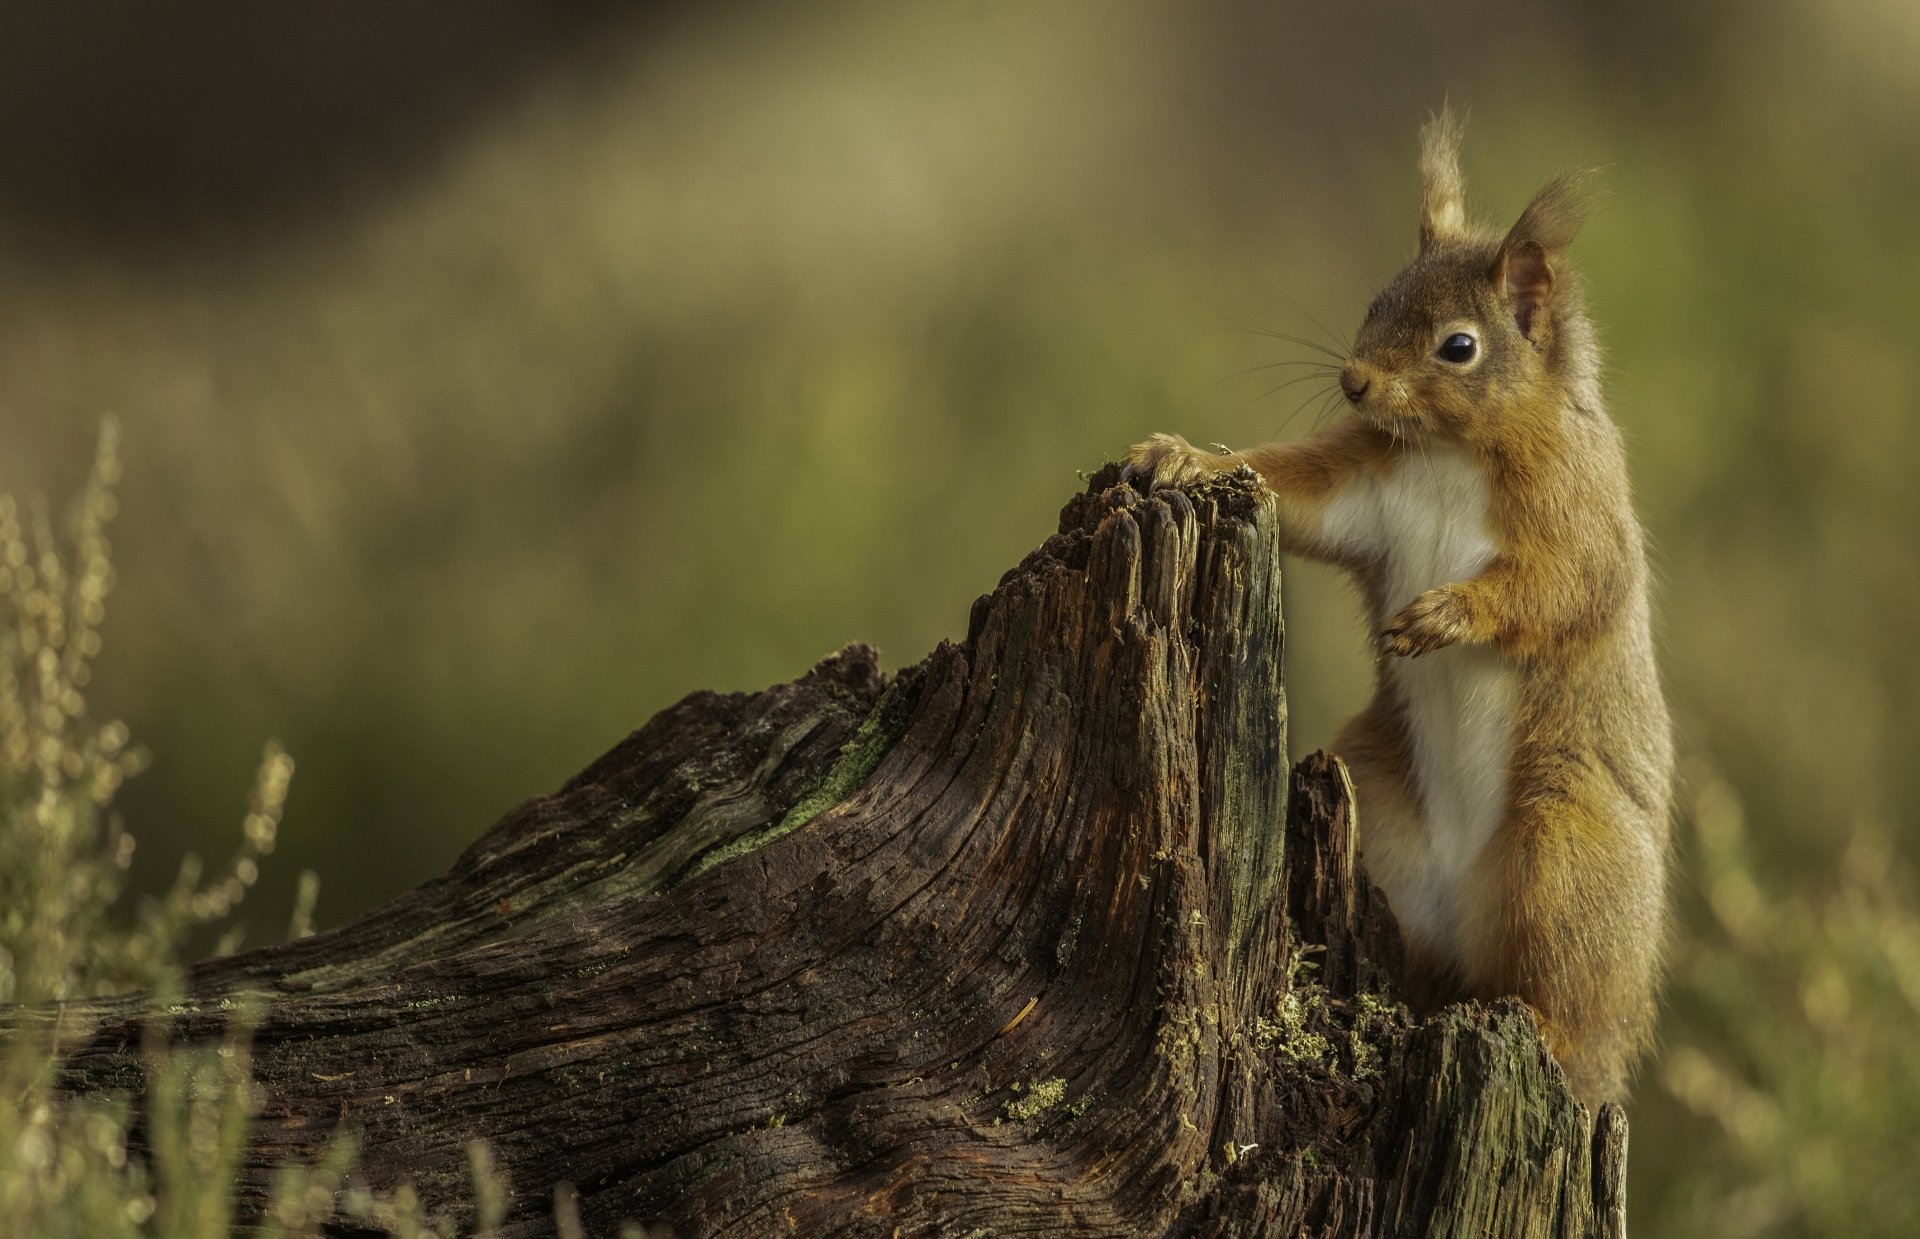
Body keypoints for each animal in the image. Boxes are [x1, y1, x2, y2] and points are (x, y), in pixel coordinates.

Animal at [1124, 109, 1672, 1105]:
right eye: (1378, 300)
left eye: (1459, 345)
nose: (1353, 382)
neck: (1451, 449)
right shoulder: (1363, 489)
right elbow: (1290, 488)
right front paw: (1188, 456)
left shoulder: (1581, 516)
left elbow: (1562, 589)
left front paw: (1447, 614)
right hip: (1376, 808)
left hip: (1568, 857)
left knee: (1561, 1000)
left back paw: (1547, 1027)